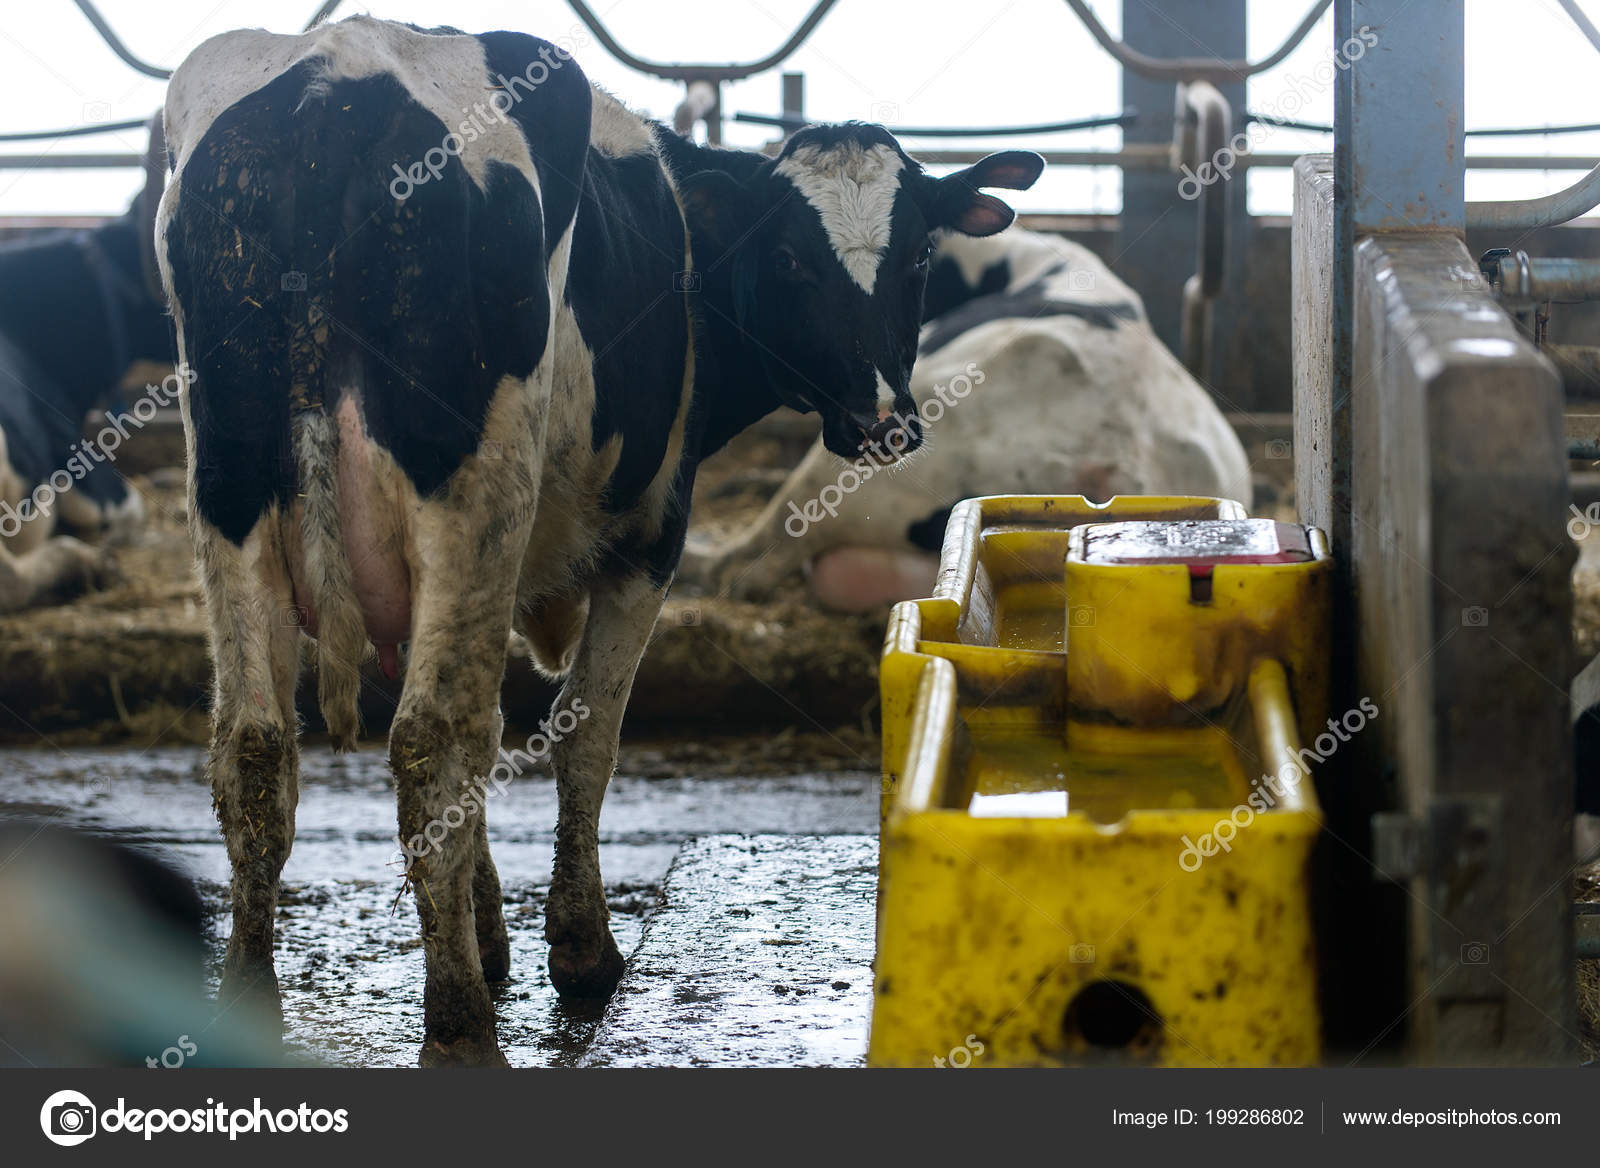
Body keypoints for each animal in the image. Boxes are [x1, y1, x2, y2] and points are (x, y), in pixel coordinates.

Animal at [157, 15, 1040, 1065]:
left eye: (915, 261)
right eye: (791, 259)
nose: (883, 418)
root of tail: (338, 76)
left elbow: (496, 734)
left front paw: (489, 931)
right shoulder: (651, 539)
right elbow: (583, 734)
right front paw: (576, 948)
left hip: (232, 484)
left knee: (258, 746)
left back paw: (250, 1003)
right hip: (473, 493)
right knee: (429, 740)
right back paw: (460, 1025)